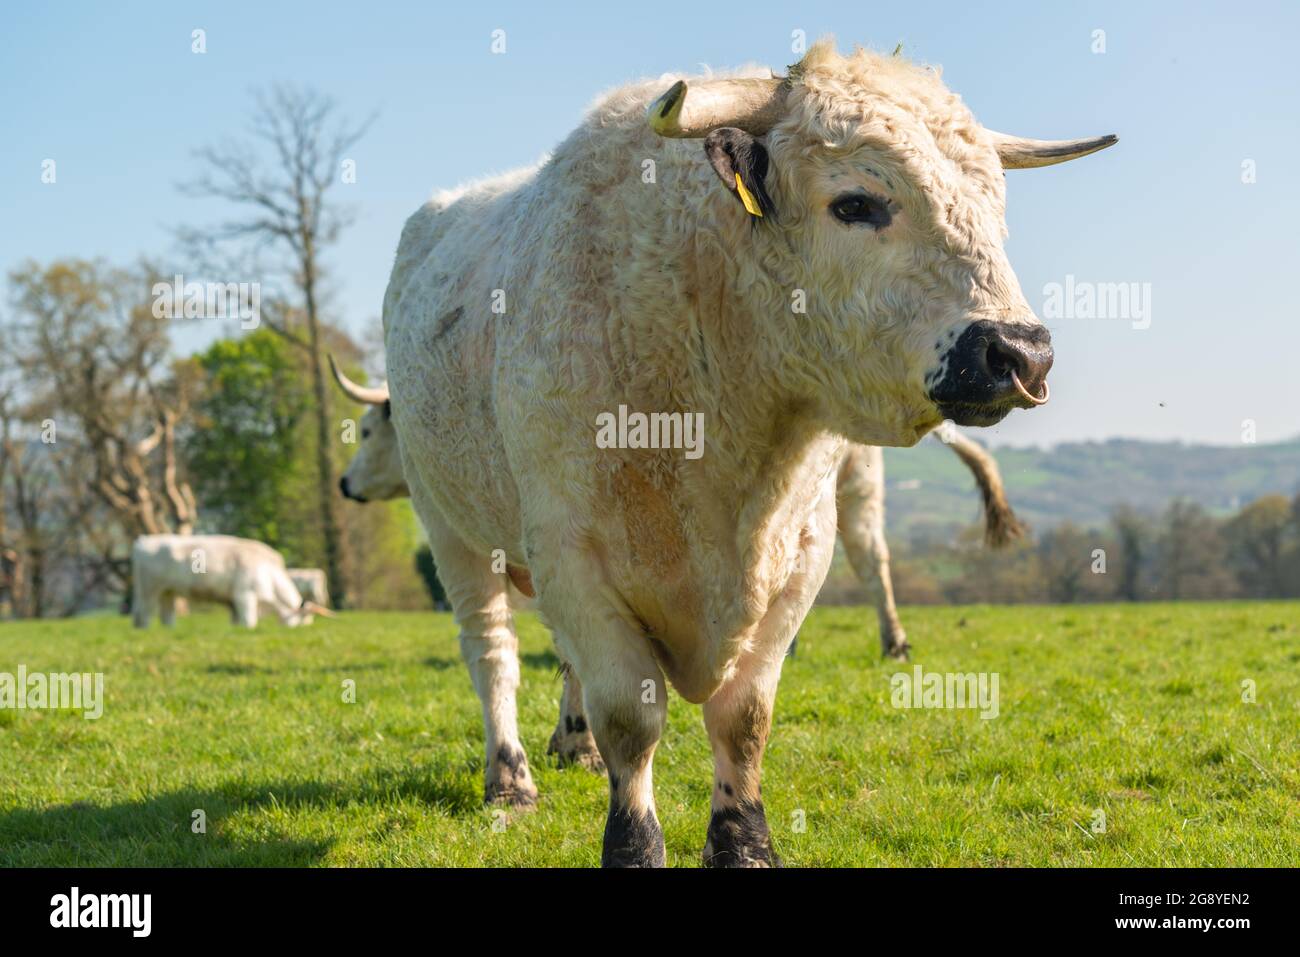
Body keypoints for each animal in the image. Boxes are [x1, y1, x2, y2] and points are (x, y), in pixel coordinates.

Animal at [131, 534, 334, 628]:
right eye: (301, 620)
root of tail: (144, 540)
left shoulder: (233, 602)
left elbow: (236, 621)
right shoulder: (244, 595)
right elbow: (248, 620)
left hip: (168, 591)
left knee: (166, 614)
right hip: (149, 589)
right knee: (146, 613)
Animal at [380, 40, 1113, 866]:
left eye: (995, 208)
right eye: (855, 202)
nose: (1021, 352)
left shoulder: (801, 553)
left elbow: (745, 716)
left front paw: (742, 841)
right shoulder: (575, 556)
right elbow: (630, 716)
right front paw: (633, 843)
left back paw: (574, 747)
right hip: (451, 527)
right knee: (492, 651)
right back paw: (509, 778)